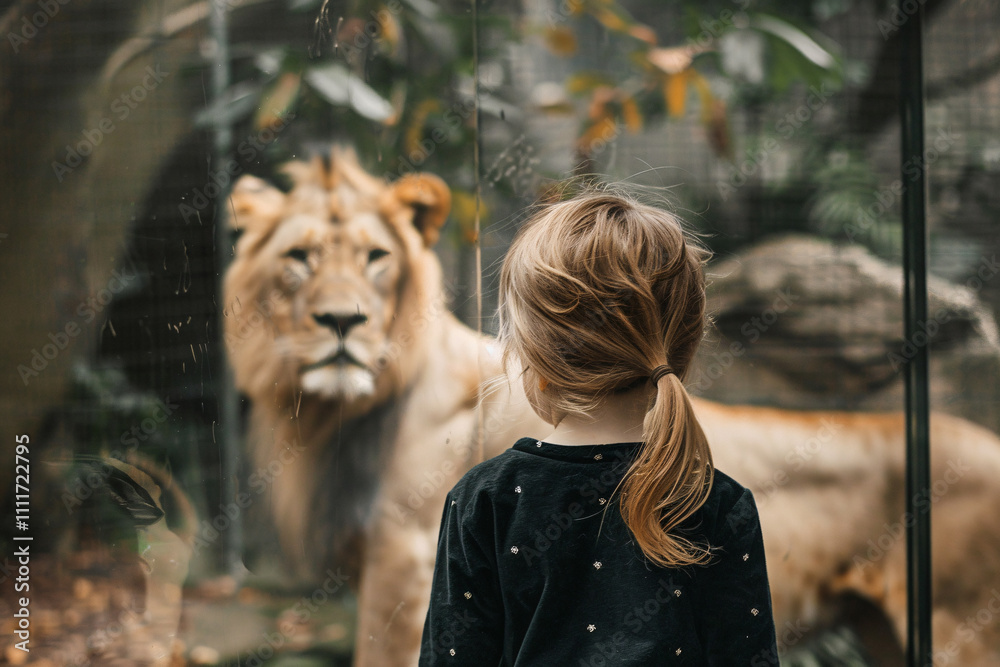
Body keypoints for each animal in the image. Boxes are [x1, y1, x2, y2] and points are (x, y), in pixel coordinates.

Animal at [222, 148, 1000, 665]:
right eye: (298, 257)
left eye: (376, 256)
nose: (342, 322)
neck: (339, 417)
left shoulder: (407, 557)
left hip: (962, 625)